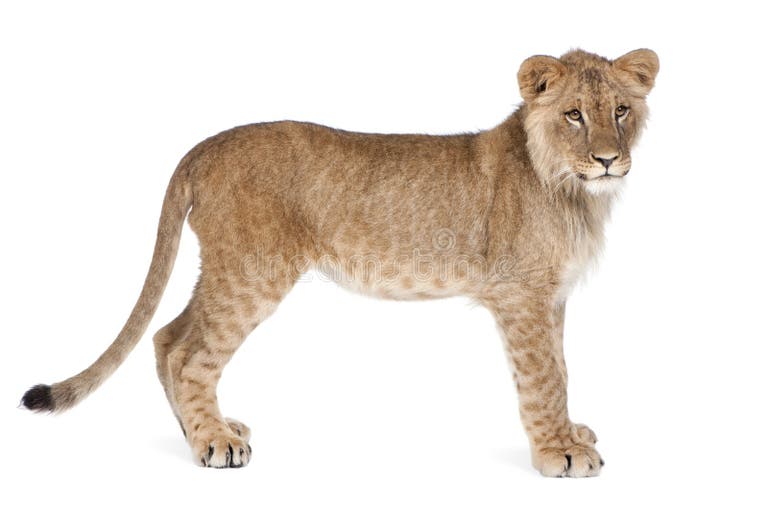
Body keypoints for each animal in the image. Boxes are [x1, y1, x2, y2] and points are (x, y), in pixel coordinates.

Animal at [22, 48, 658, 477]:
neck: (573, 191)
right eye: (574, 115)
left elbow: (561, 370)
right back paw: (214, 445)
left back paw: (203, 429)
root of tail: (204, 146)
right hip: (252, 272)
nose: (608, 159)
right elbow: (542, 376)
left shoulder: (551, 297)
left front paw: (570, 434)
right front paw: (560, 454)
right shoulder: (520, 295)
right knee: (188, 352)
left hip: (229, 268)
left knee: (166, 335)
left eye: (621, 111)